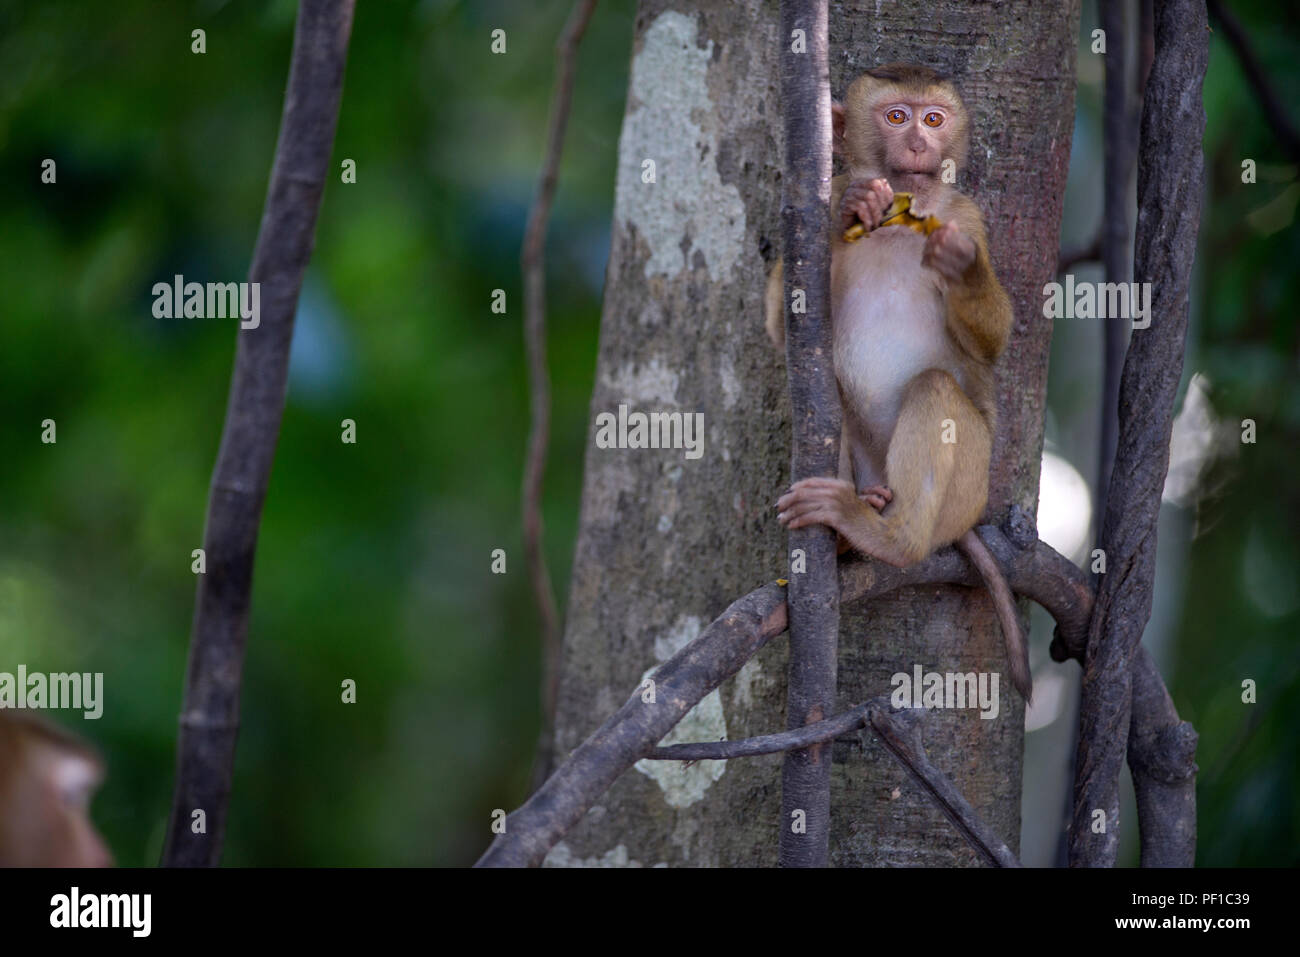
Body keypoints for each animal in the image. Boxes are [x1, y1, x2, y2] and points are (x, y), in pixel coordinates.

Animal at [767, 63, 1031, 702]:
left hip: (970, 486)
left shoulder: (966, 217)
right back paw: (859, 516)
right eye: (896, 116)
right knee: (829, 393)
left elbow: (992, 345)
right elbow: (781, 332)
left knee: (934, 388)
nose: (917, 144)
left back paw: (889, 538)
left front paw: (963, 268)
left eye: (933, 119)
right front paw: (851, 209)